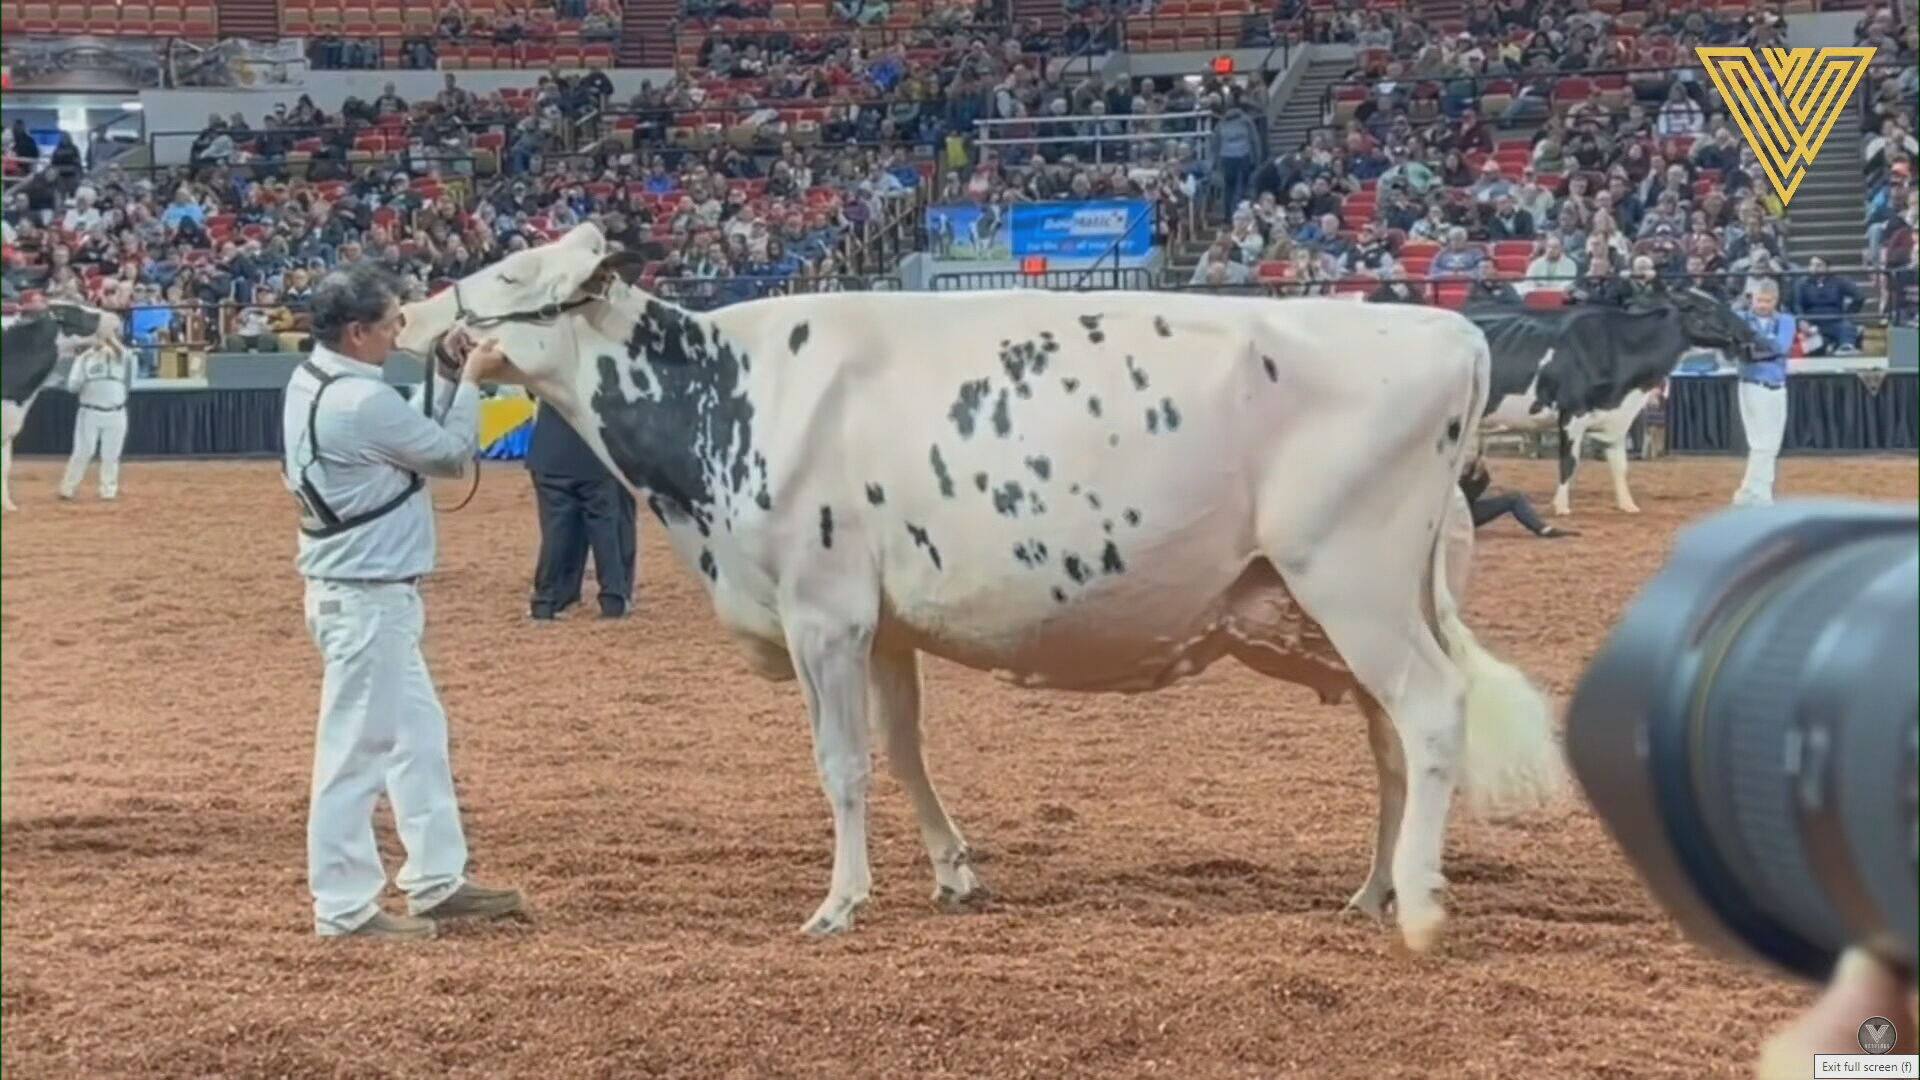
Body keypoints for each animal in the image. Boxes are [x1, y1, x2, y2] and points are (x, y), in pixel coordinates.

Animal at [395, 224, 1569, 955]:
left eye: (512, 272)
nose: (410, 312)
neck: (725, 399)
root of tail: (1445, 329)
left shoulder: (823, 610)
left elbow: (842, 765)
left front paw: (839, 903)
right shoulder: (881, 626)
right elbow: (903, 747)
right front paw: (954, 872)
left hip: (1356, 581)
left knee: (1431, 713)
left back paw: (1419, 911)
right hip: (1356, 602)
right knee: (1392, 740)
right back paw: (1374, 890)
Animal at [1463, 290, 1760, 517]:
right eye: (1706, 308)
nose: (1749, 332)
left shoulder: (1617, 419)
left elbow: (1620, 465)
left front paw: (1628, 505)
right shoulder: (1572, 413)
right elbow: (1569, 462)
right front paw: (1561, 507)